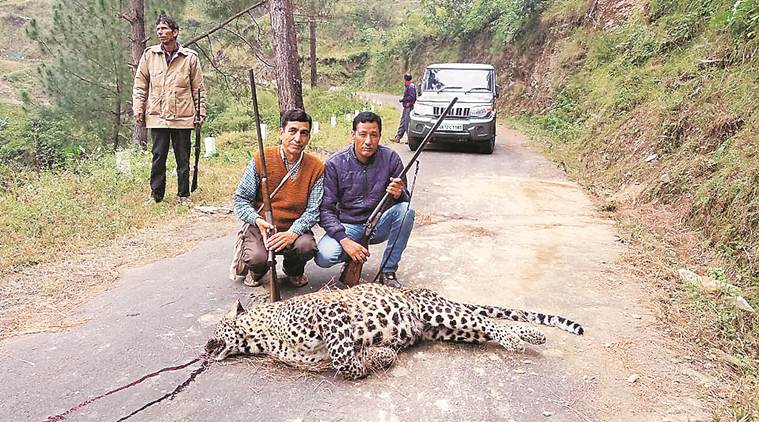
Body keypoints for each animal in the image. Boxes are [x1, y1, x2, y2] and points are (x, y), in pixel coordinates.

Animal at [205, 284, 584, 380]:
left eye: (216, 328)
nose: (205, 345)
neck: (258, 337)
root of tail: (426, 292)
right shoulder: (315, 361)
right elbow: (344, 361)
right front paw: (382, 354)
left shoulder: (330, 311)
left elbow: (344, 362)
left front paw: (374, 357)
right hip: (446, 329)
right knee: (489, 325)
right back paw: (530, 337)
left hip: (437, 311)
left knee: (490, 322)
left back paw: (519, 340)